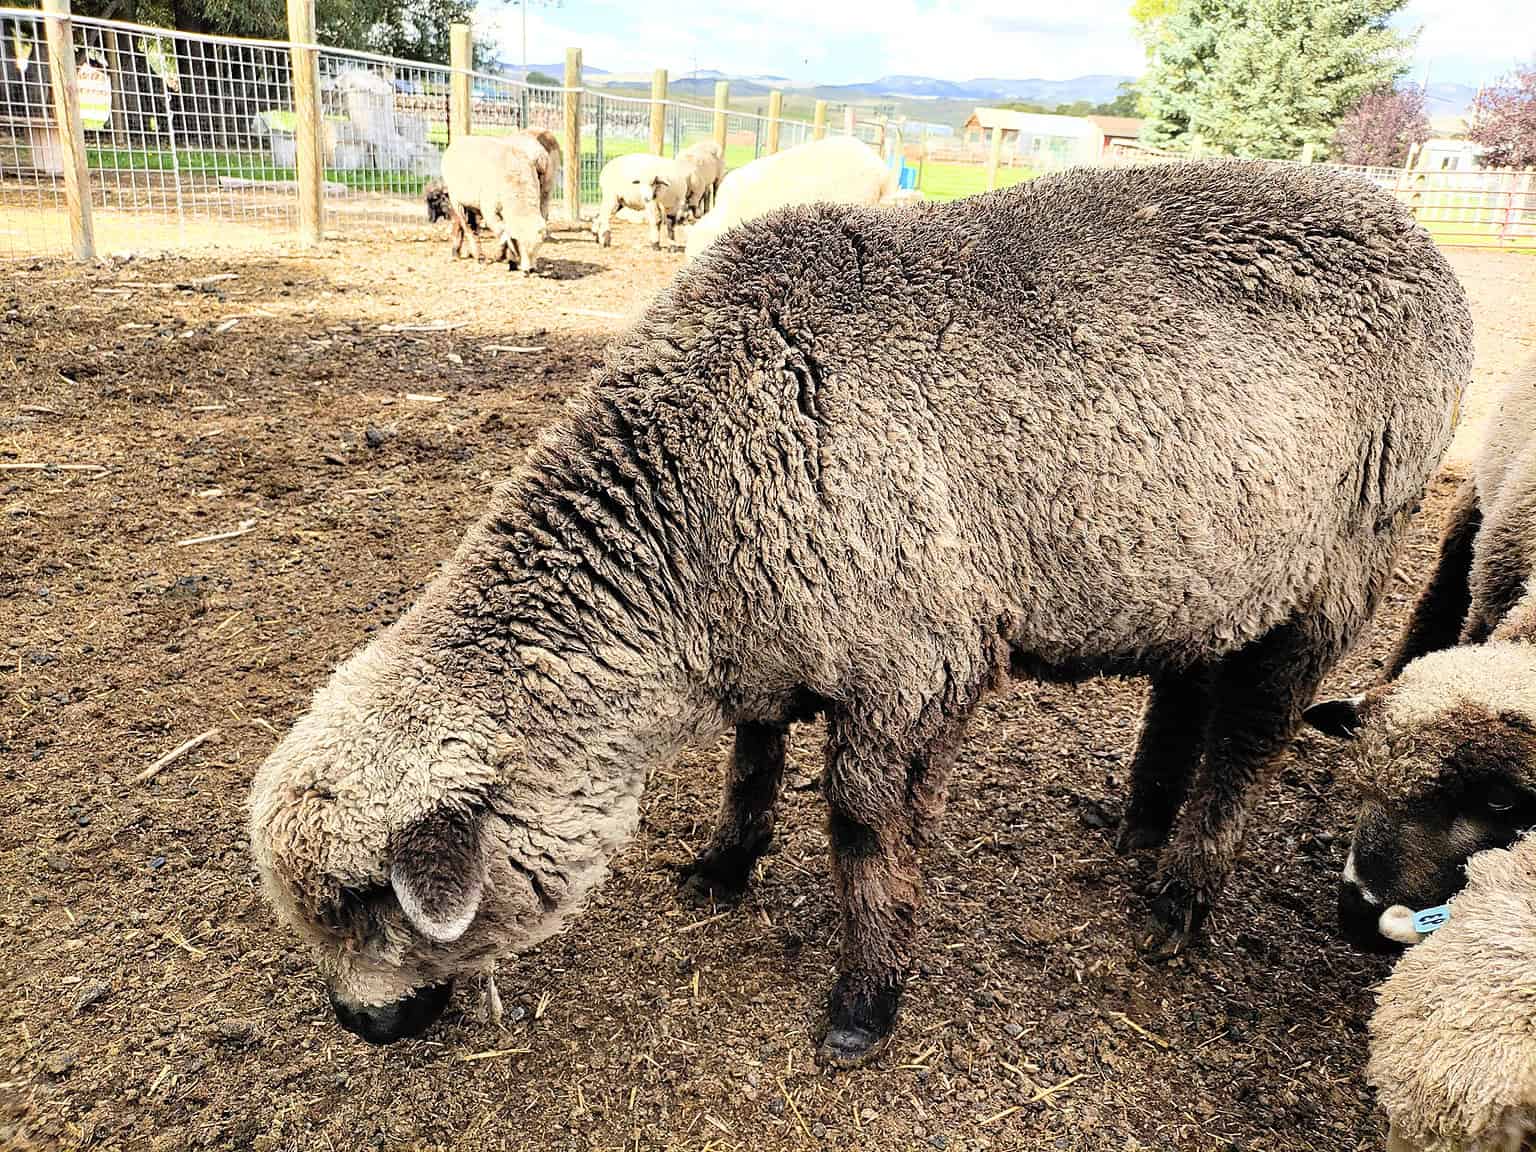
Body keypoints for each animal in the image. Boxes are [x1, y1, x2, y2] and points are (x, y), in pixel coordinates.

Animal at [250, 161, 1471, 1064]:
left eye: (370, 904)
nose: (359, 1024)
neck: (690, 519)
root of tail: (1417, 237)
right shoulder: (772, 638)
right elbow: (750, 761)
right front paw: (723, 866)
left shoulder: (911, 666)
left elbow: (864, 829)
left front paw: (865, 1003)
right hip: (1208, 560)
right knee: (1188, 685)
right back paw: (1138, 828)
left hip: (1348, 552)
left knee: (1255, 729)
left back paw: (1180, 894)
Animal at [438, 135, 547, 275]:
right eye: (519, 242)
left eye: (539, 245)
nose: (530, 269)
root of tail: (460, 140)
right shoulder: (490, 211)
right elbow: (503, 232)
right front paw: (509, 258)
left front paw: (509, 260)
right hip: (456, 198)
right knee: (466, 226)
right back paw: (477, 255)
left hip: (471, 204)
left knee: (468, 224)